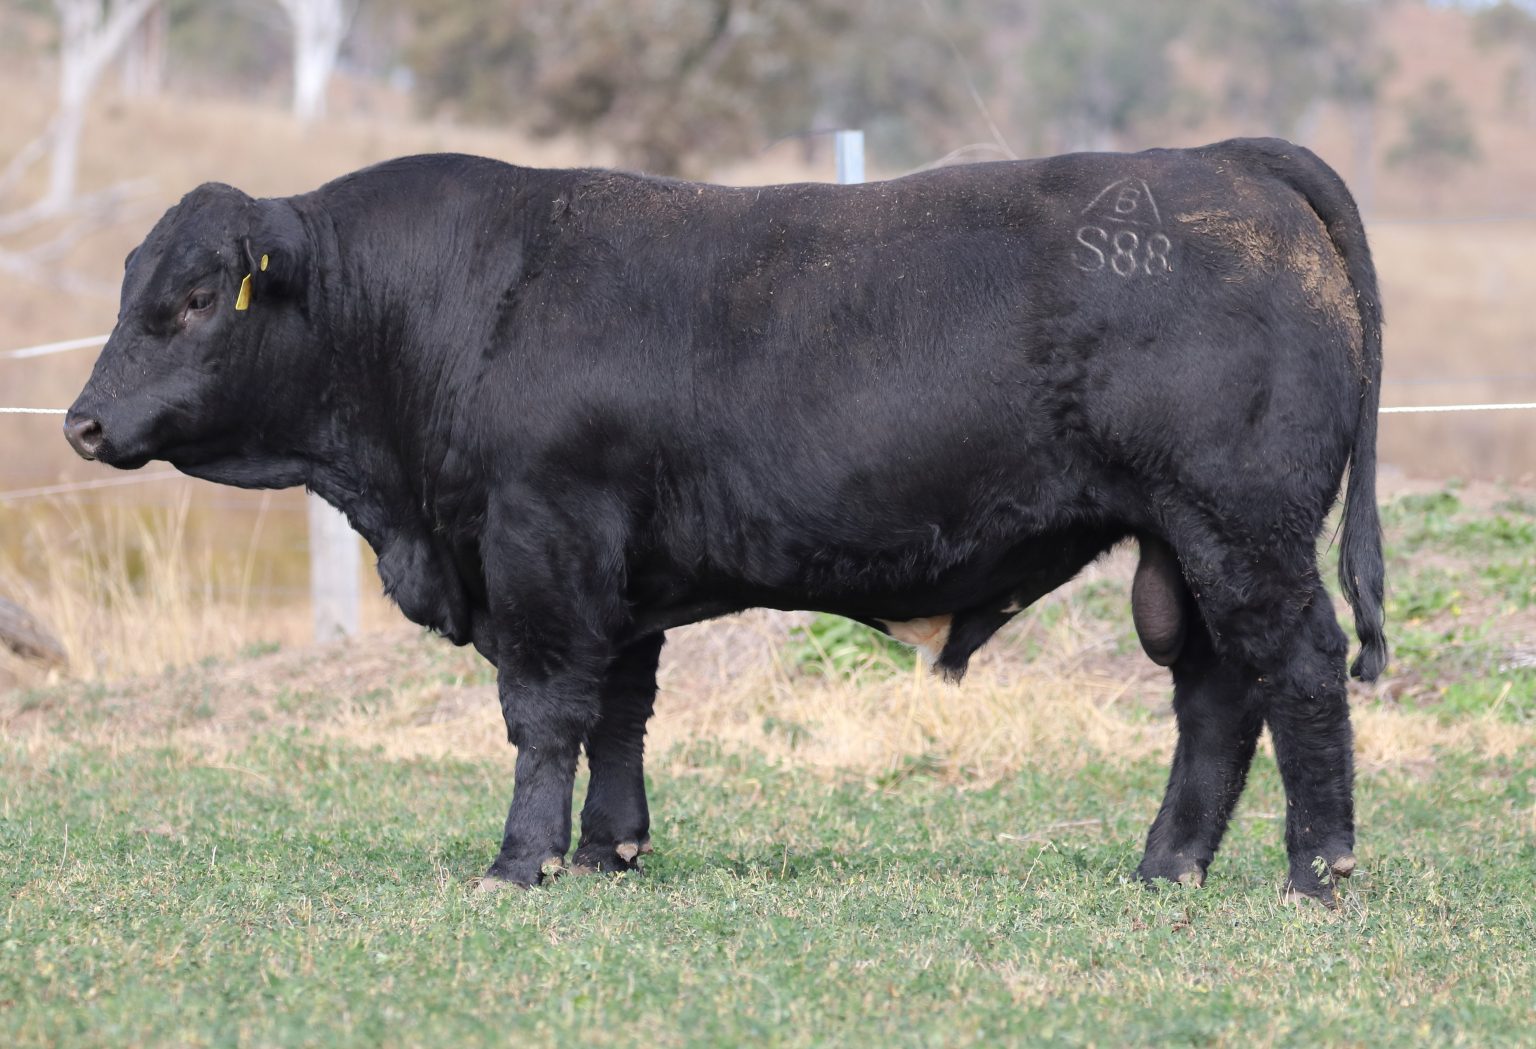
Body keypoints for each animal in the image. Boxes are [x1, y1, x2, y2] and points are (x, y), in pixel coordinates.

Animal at [64, 138, 1386, 904]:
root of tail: (1222, 159)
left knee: (1299, 668)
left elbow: (545, 710)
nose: (81, 421)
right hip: (1185, 543)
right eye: (130, 286)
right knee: (1217, 693)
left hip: (1242, 526)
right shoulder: (617, 573)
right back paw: (1168, 866)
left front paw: (520, 862)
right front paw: (611, 850)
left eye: (194, 299)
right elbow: (618, 712)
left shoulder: (541, 541)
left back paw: (1317, 871)